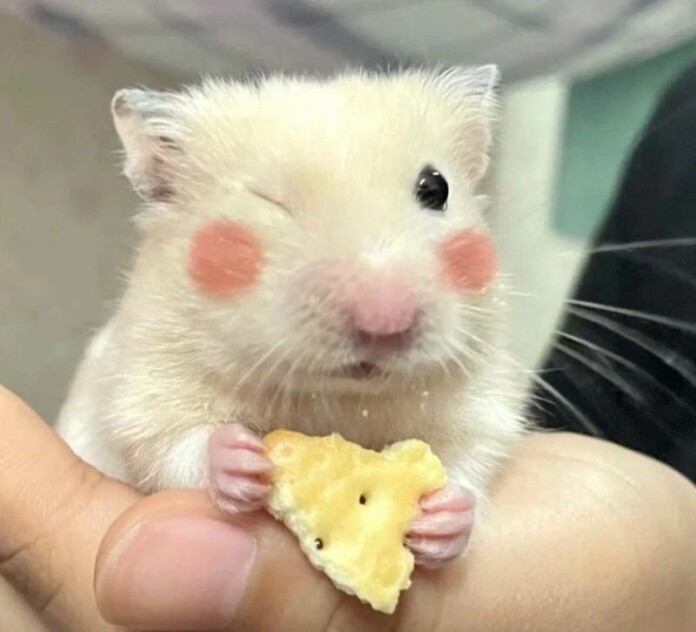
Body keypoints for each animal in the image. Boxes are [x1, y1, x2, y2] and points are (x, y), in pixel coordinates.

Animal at [56, 65, 527, 567]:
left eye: (435, 188)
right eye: (269, 200)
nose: (385, 319)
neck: (336, 398)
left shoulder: (482, 404)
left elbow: (470, 460)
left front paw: (444, 519)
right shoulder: (141, 392)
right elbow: (172, 444)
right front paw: (243, 460)